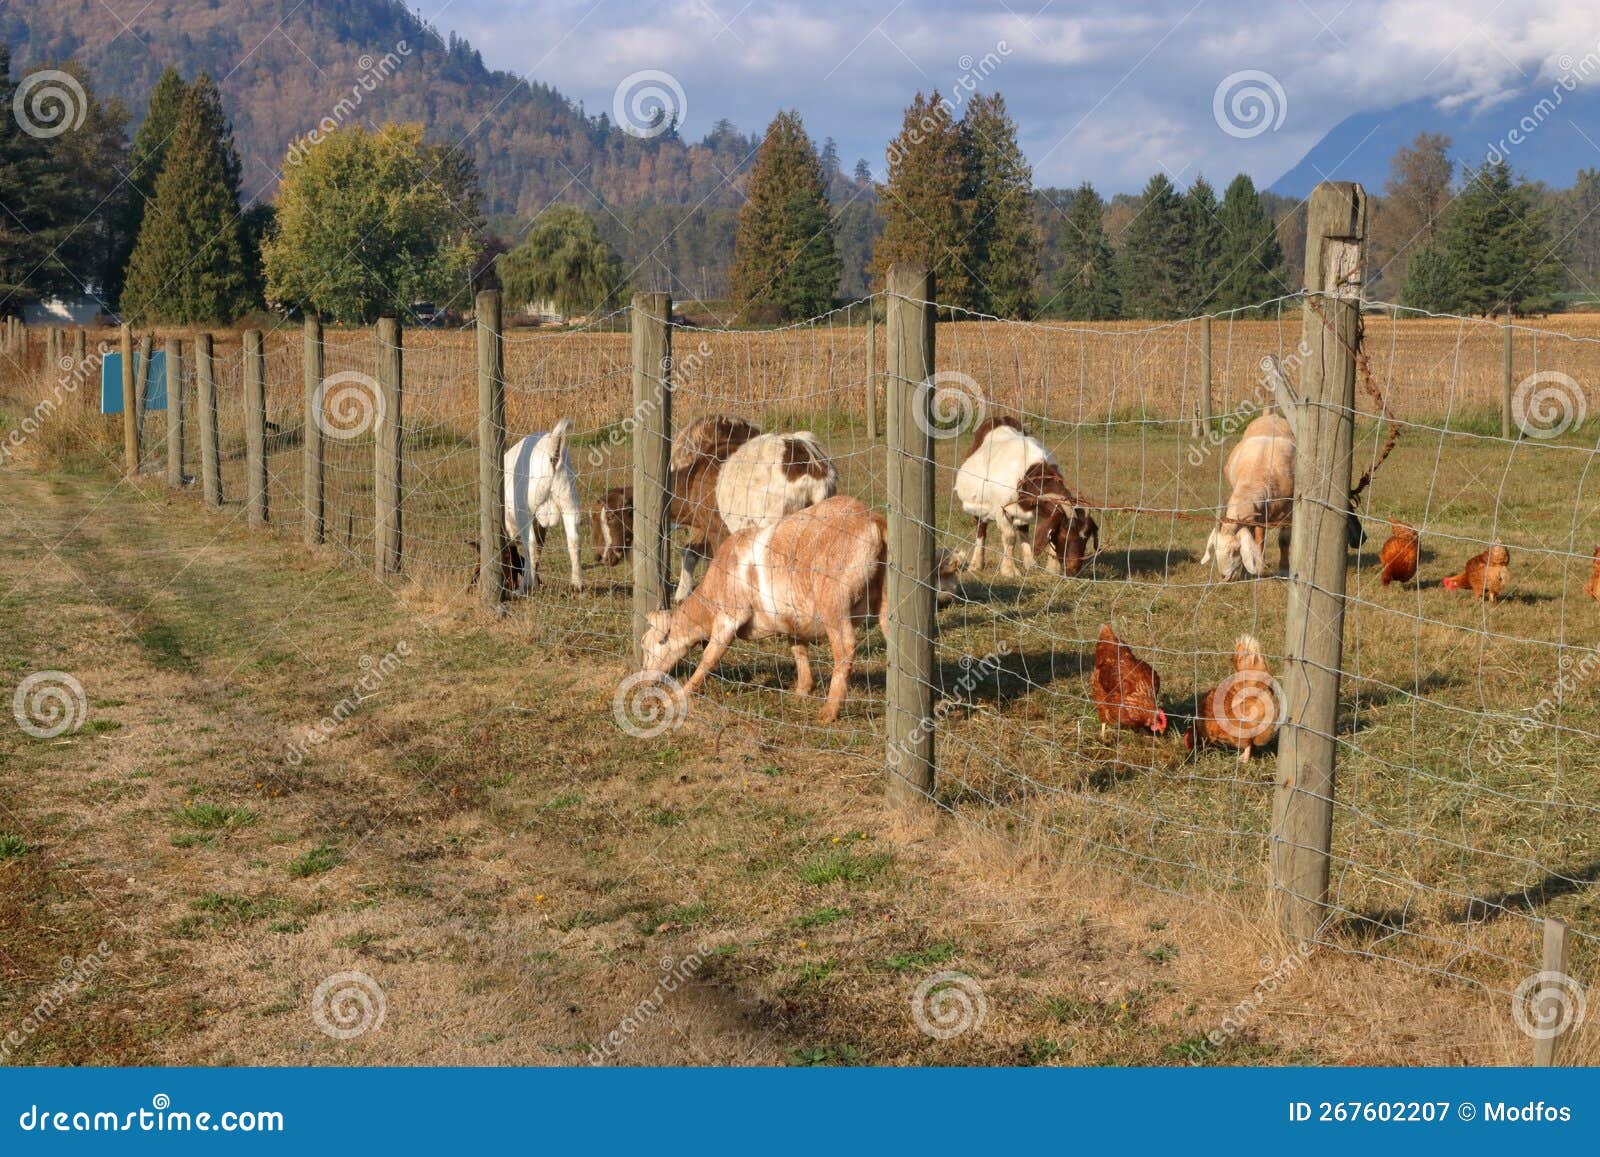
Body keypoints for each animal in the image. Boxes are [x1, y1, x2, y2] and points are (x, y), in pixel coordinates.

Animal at [503, 421, 583, 592]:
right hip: (569, 501)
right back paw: (576, 584)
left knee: (531, 546)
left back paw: (524, 587)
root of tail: (552, 451)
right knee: (574, 541)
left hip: (523, 512)